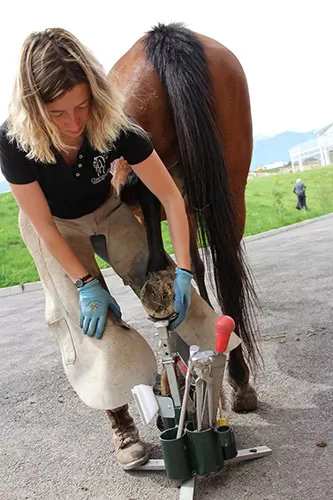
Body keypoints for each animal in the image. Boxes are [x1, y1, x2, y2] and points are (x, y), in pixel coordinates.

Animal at [109, 23, 260, 412]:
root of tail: (163, 37)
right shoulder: (188, 211)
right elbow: (196, 267)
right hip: (229, 187)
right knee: (226, 271)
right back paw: (238, 379)